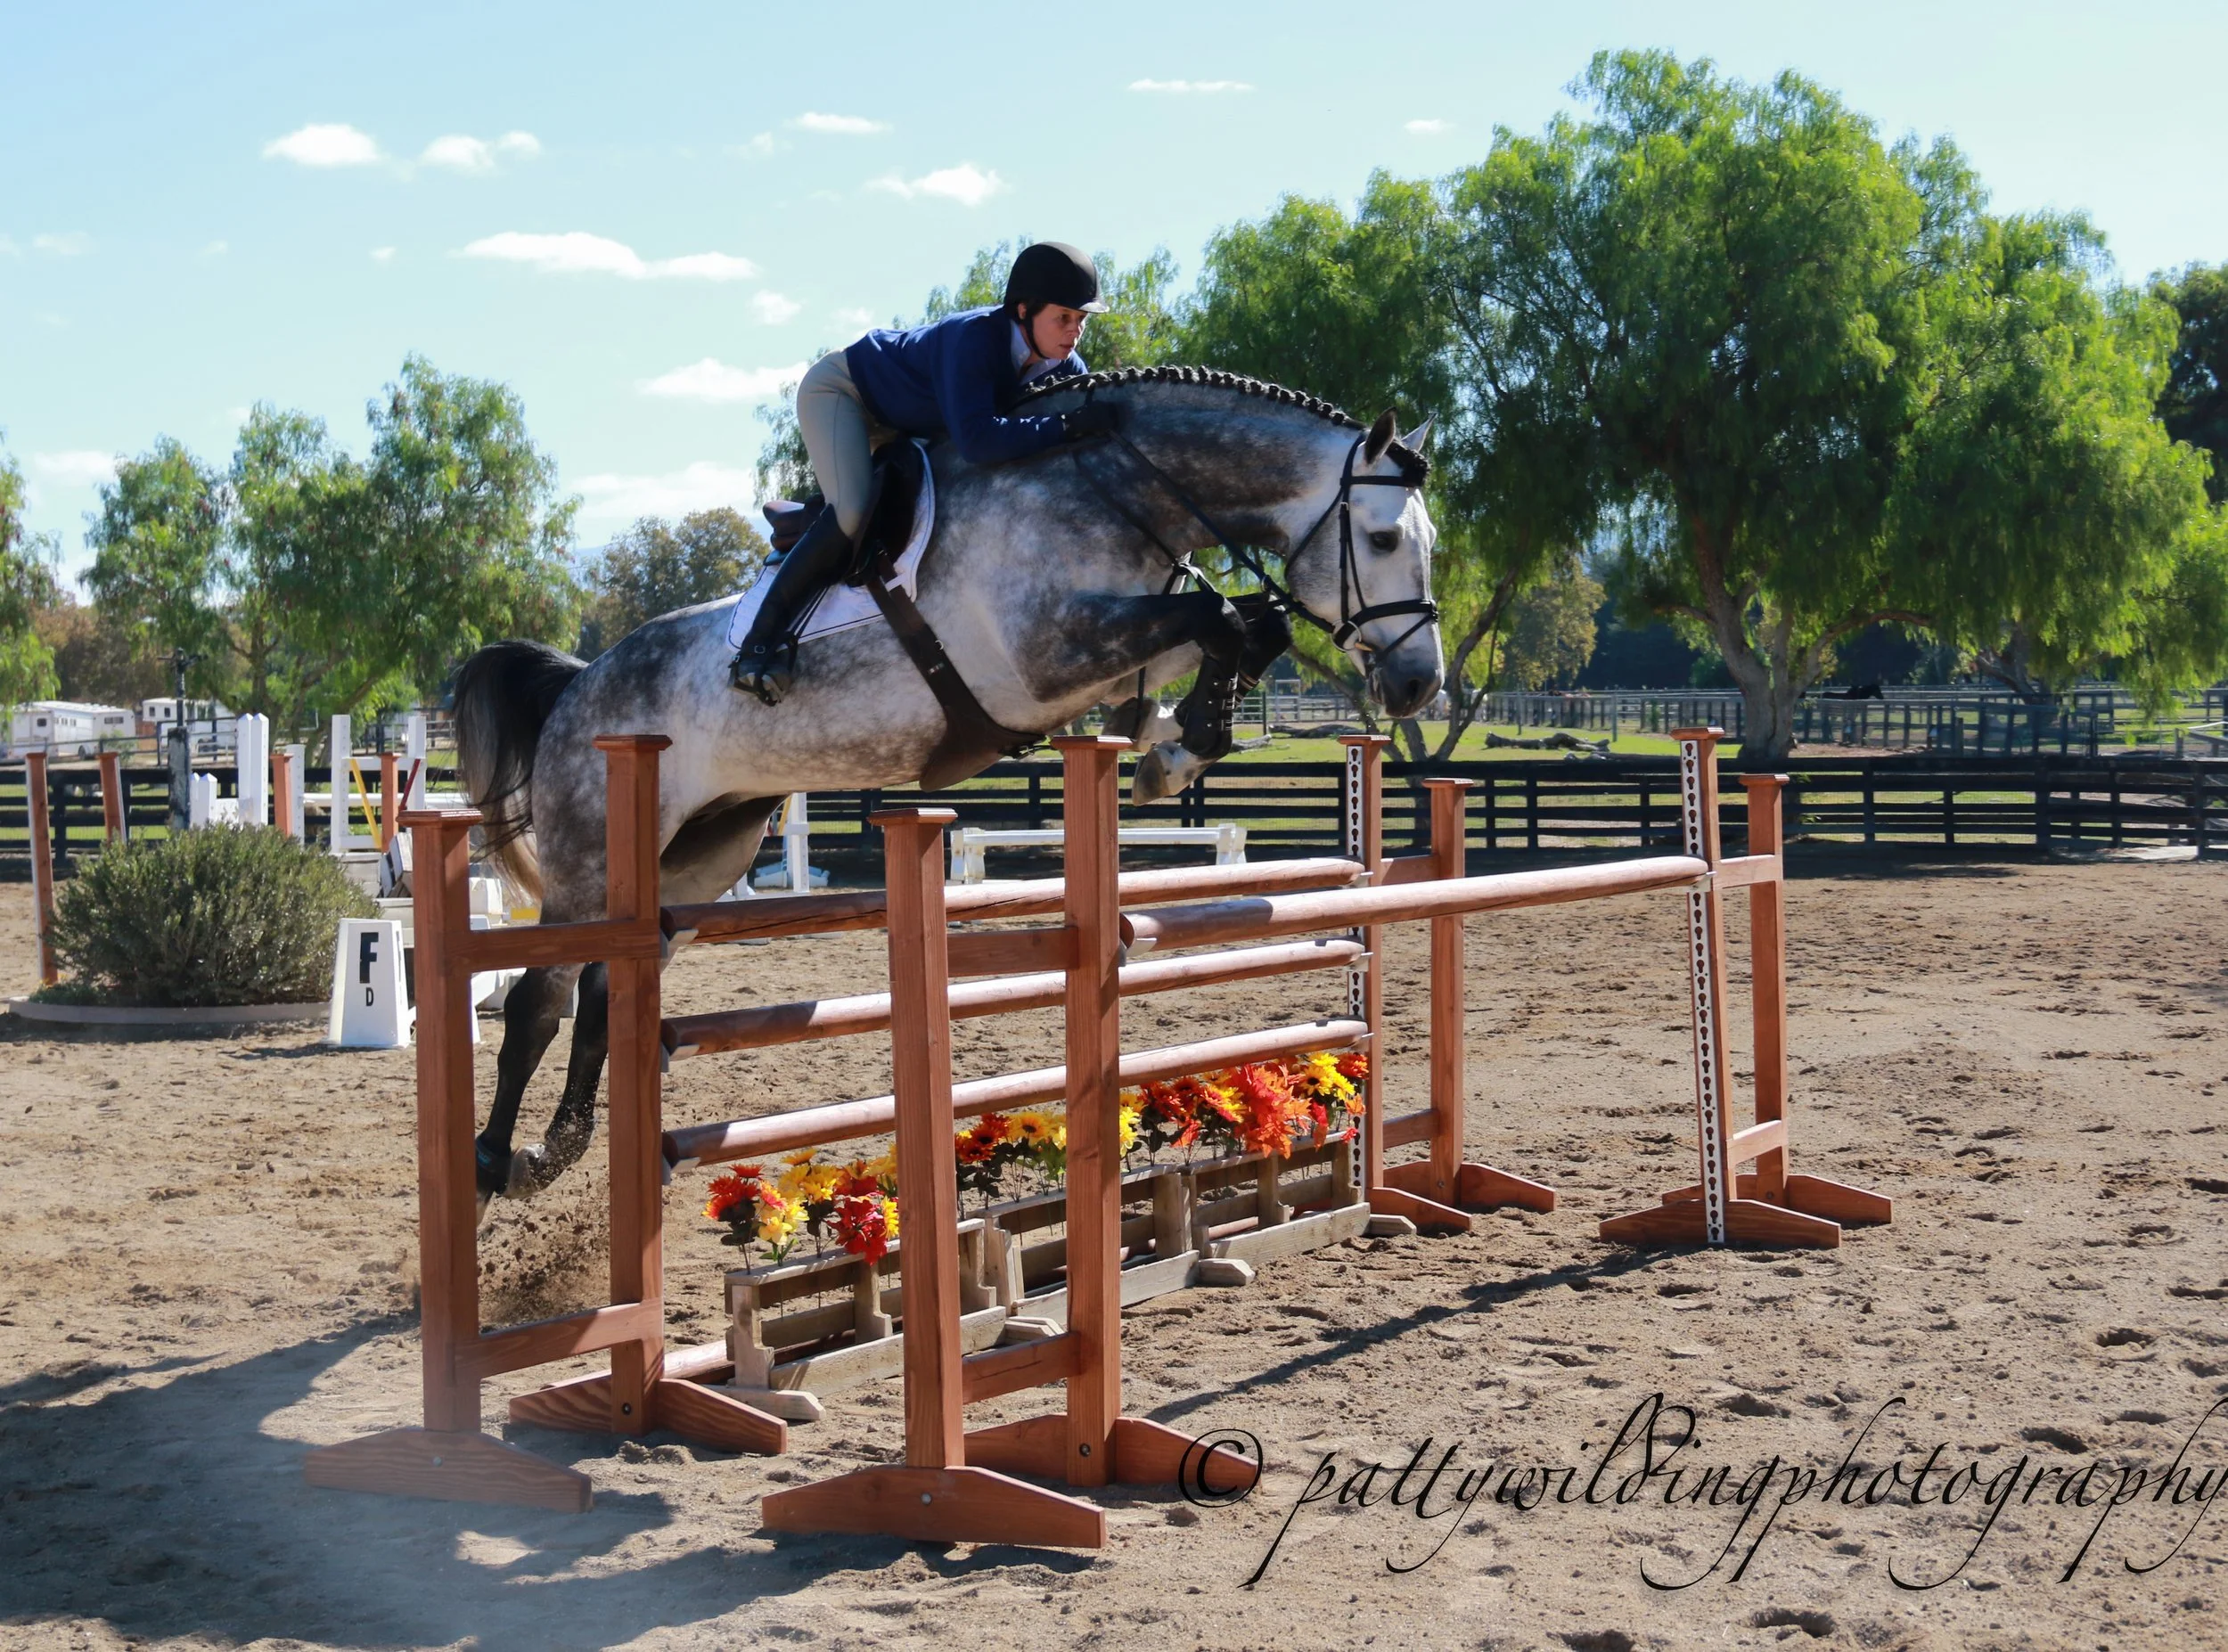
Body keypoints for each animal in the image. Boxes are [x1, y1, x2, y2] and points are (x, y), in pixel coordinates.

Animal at [455, 367, 1445, 1203]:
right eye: (1383, 538)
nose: (1416, 686)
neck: (1117, 487)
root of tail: (580, 683)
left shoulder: (1114, 644)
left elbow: (1239, 629)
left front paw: (1176, 747)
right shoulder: (1045, 655)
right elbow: (1220, 616)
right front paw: (1176, 745)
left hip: (705, 850)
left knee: (605, 991)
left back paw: (561, 1149)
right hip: (592, 850)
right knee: (540, 1000)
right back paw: (496, 1160)